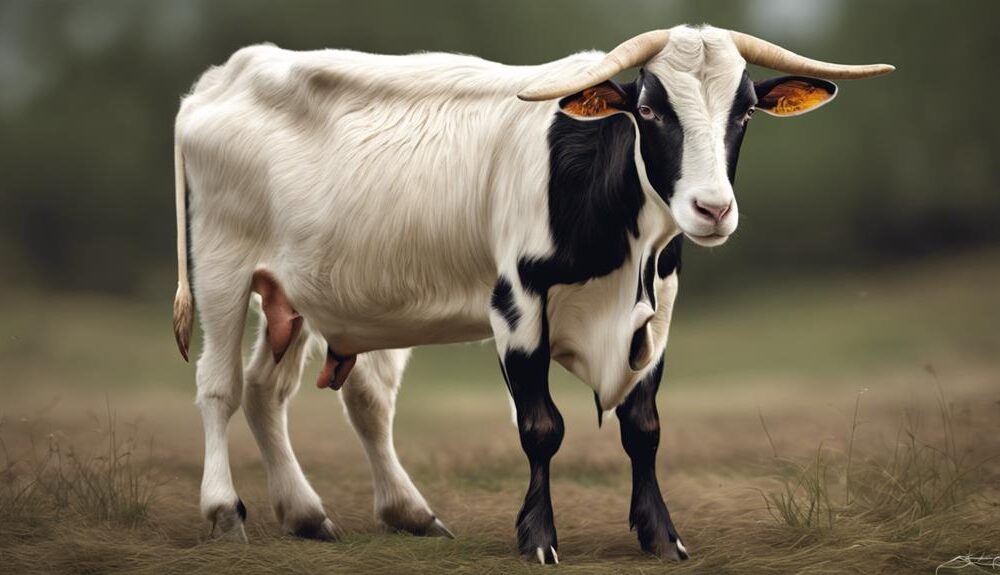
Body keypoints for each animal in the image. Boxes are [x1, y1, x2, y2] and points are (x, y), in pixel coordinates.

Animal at [171, 24, 892, 563]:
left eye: (743, 112)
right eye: (650, 109)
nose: (712, 209)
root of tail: (225, 75)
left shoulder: (659, 309)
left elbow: (644, 426)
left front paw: (660, 533)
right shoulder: (516, 305)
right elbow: (541, 426)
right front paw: (538, 536)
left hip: (294, 296)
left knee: (284, 393)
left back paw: (335, 512)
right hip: (223, 266)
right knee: (220, 388)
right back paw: (225, 510)